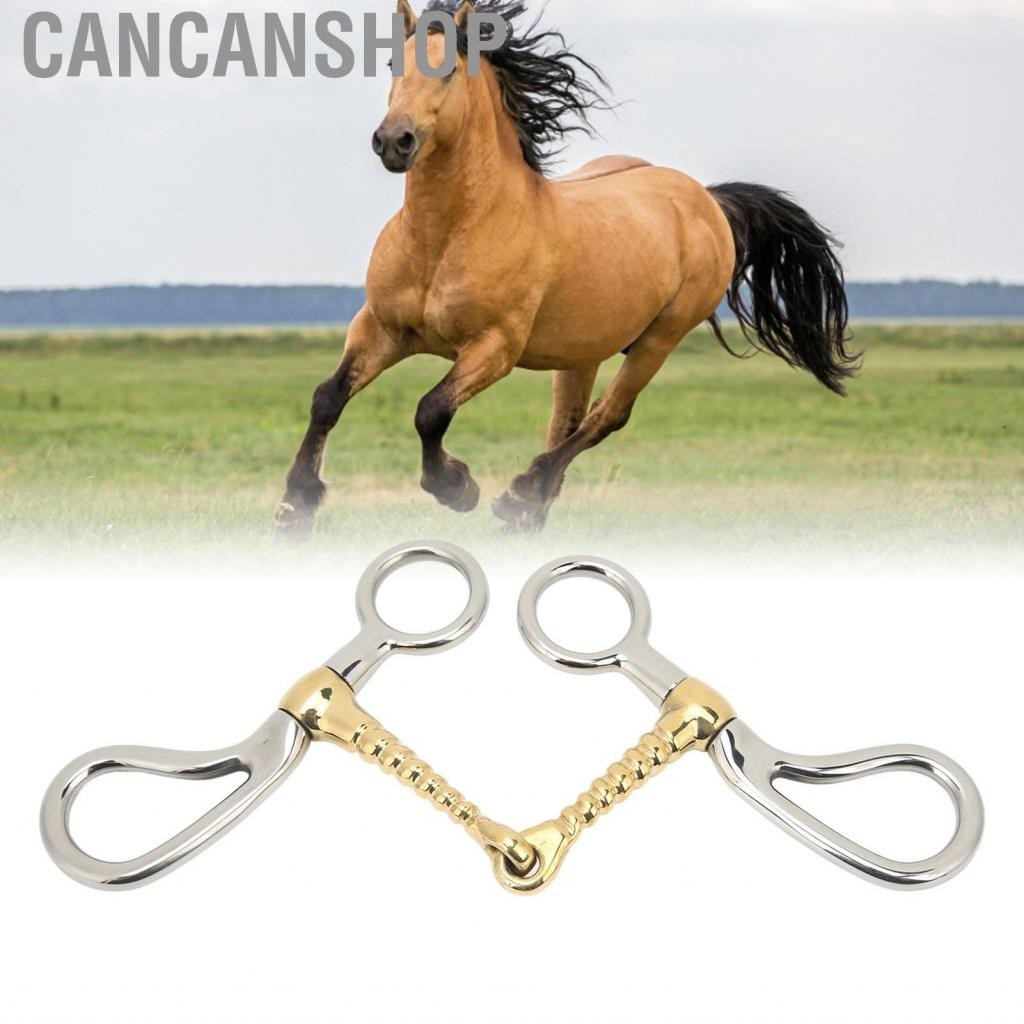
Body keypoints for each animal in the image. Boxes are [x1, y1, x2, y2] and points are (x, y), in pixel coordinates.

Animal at [275, 0, 858, 537]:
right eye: (394, 63)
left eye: (448, 70)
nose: (394, 142)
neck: (446, 237)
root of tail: (706, 199)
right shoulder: (381, 327)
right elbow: (328, 397)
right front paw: (294, 508)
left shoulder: (494, 347)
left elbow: (430, 410)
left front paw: (456, 487)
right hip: (583, 351)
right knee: (568, 421)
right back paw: (528, 513)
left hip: (659, 338)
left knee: (606, 418)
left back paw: (518, 497)